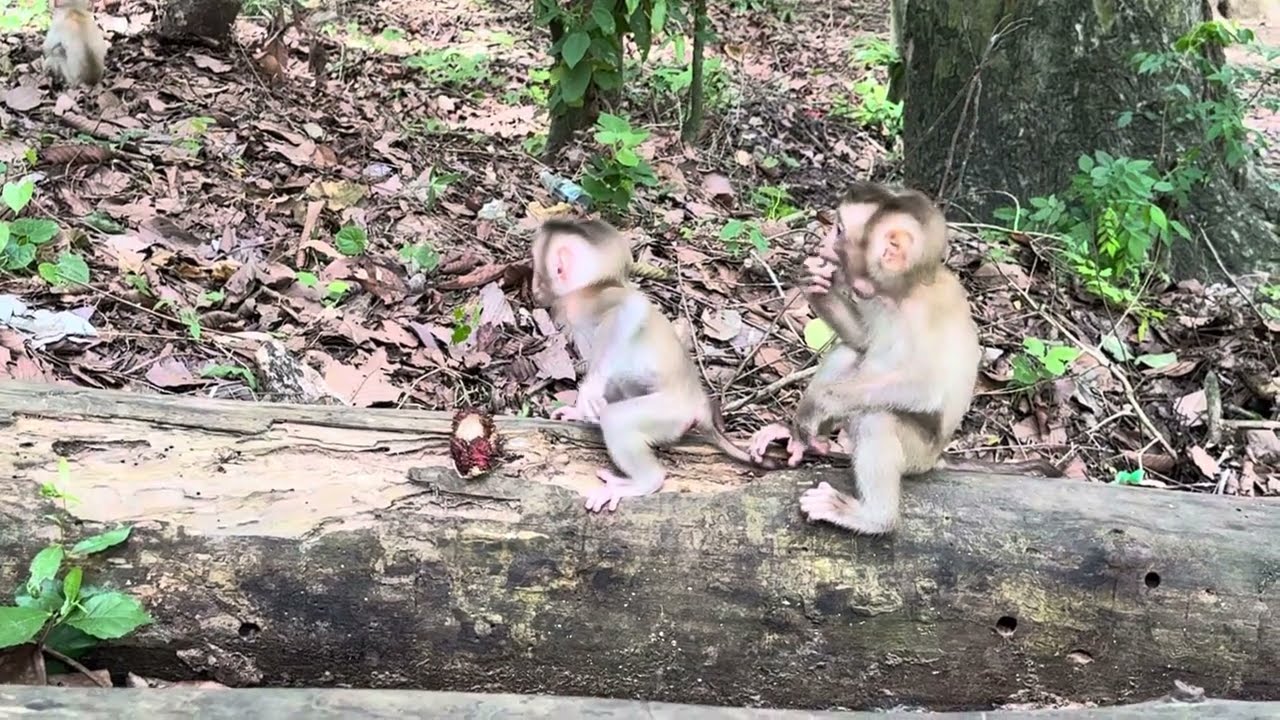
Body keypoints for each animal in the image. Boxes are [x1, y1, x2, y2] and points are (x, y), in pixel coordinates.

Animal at [531, 218, 781, 513]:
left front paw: (589, 391)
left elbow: (631, 309)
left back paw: (645, 482)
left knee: (617, 419)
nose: (533, 288)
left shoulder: (596, 300)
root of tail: (700, 406)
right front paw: (579, 411)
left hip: (671, 413)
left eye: (537, 269)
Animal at [754, 189, 982, 534]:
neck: (901, 294)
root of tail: (936, 458)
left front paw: (817, 404)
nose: (822, 242)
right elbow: (862, 341)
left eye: (837, 229)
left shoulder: (925, 316)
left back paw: (873, 518)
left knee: (877, 418)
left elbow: (927, 388)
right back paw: (803, 442)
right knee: (849, 354)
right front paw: (819, 287)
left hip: (917, 454)